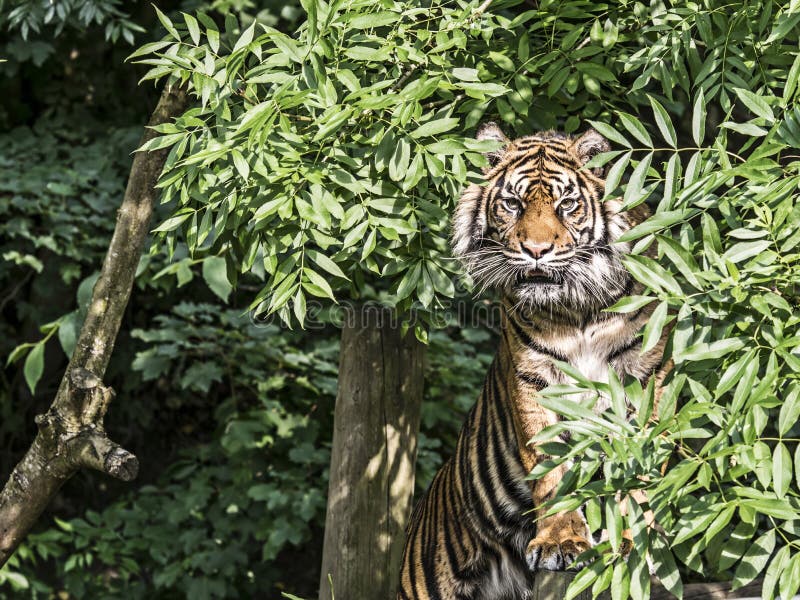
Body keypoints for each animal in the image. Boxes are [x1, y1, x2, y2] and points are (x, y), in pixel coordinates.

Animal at [398, 123, 671, 600]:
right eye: (513, 204)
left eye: (566, 204)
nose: (537, 250)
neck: (579, 310)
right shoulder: (537, 382)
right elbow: (552, 468)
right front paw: (560, 540)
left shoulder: (646, 378)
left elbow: (639, 468)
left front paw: (634, 538)